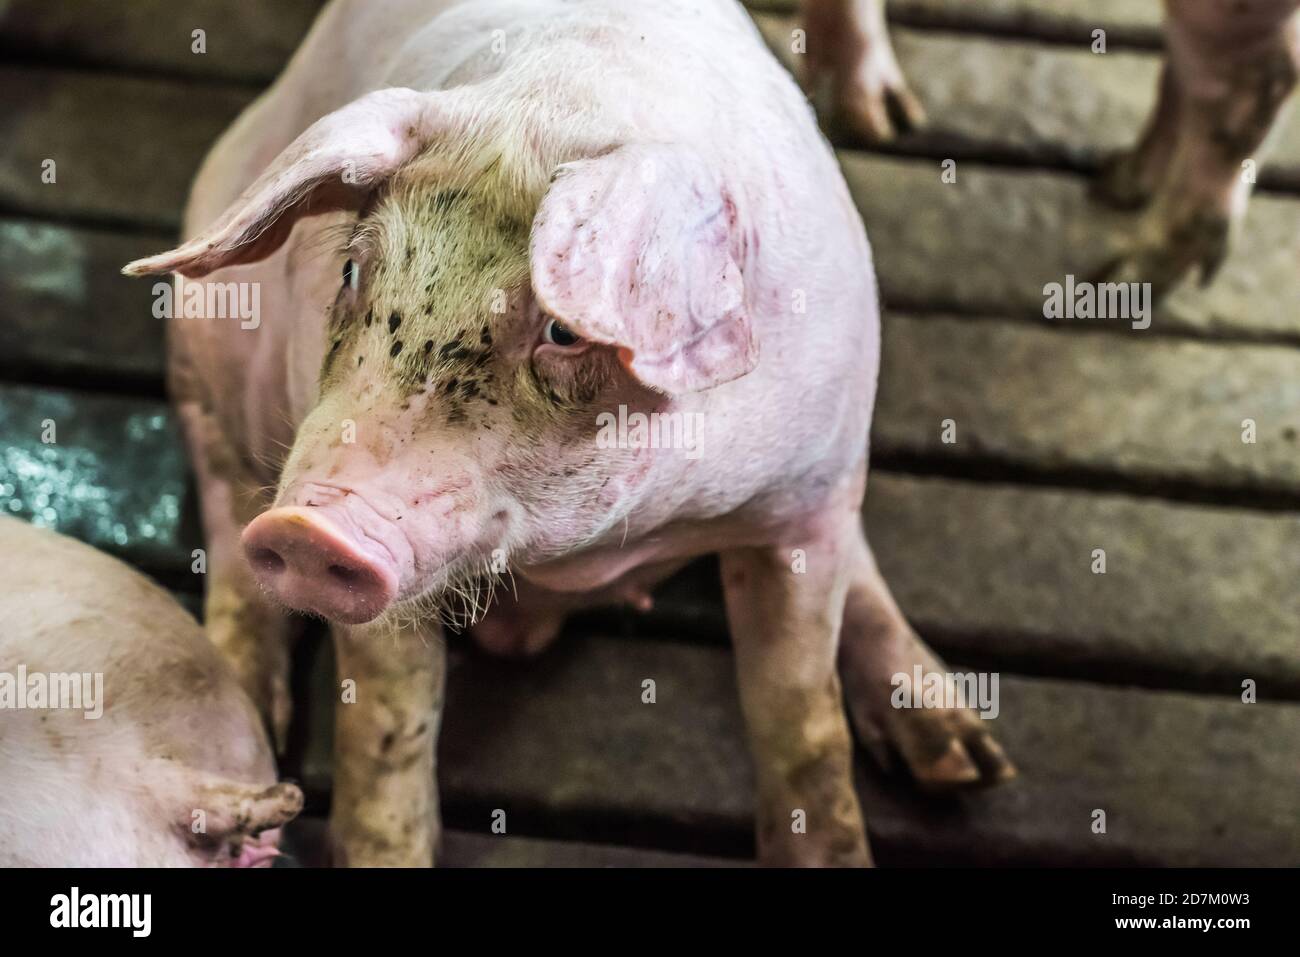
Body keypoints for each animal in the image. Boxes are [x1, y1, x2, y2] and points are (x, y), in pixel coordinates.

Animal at [124, 0, 1013, 867]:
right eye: (352, 273)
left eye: (561, 330)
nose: (308, 528)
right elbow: (388, 726)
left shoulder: (808, 496)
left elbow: (800, 720)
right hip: (206, 346)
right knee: (223, 499)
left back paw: (967, 761)